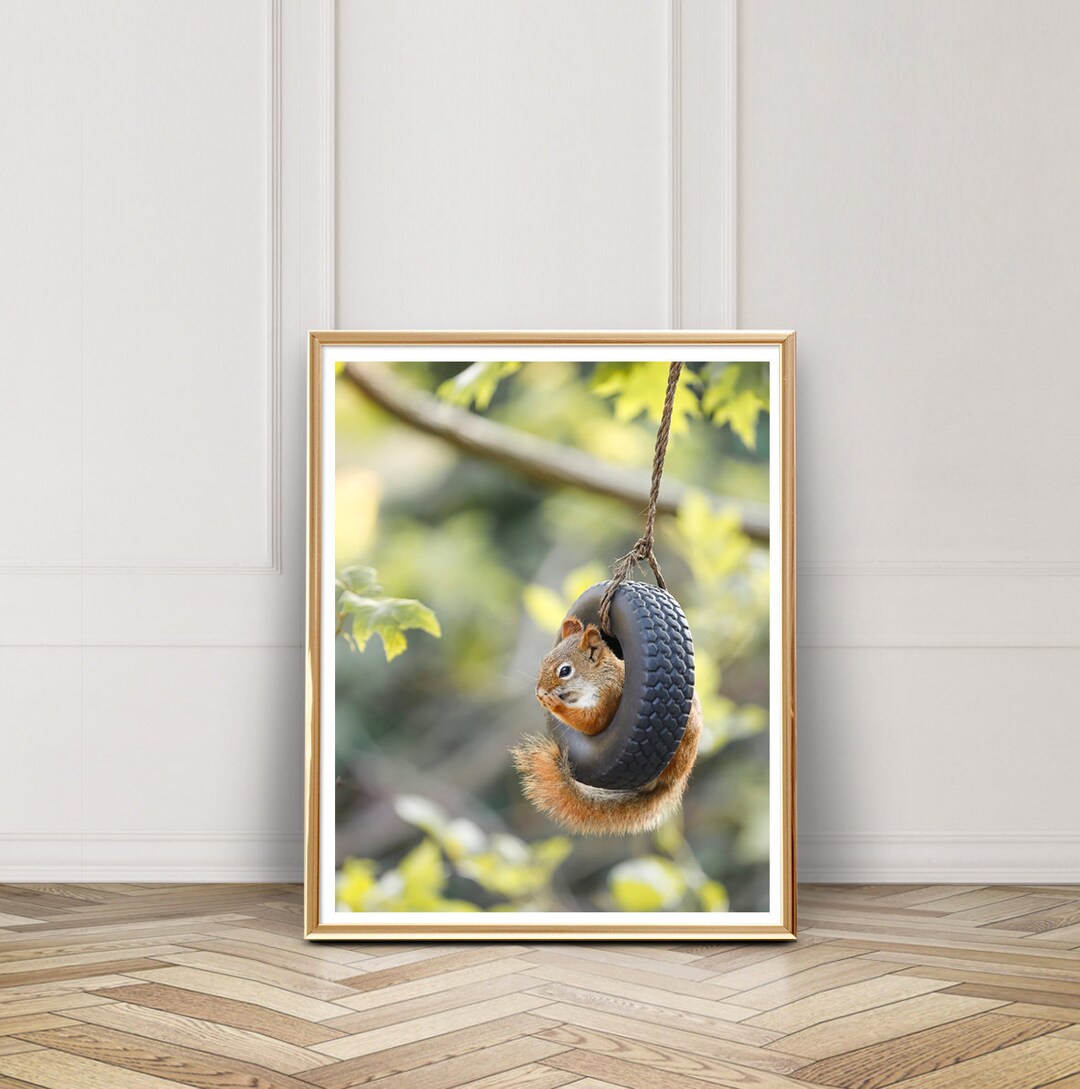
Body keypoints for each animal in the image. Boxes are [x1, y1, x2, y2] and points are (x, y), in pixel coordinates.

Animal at [512, 615, 701, 837]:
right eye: (544, 660)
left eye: (565, 670)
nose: (539, 691)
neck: (598, 675)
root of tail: (672, 782)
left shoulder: (608, 694)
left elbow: (593, 722)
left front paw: (553, 703)